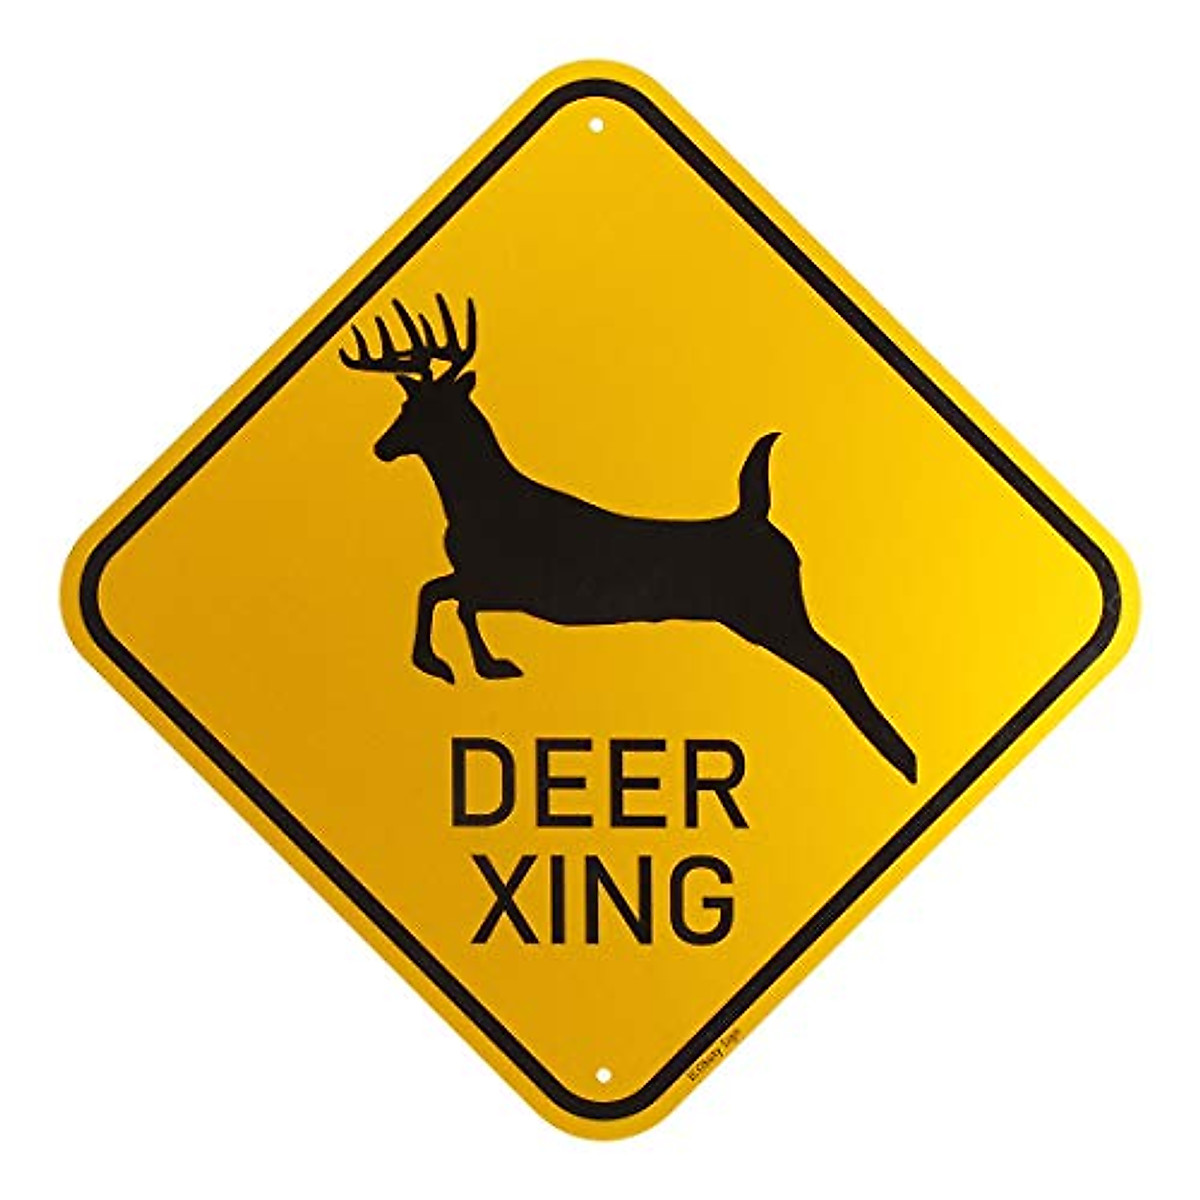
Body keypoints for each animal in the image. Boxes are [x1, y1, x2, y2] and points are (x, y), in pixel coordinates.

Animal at [339, 296, 917, 783]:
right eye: (406, 406)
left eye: (422, 411)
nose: (381, 447)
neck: (478, 503)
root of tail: (755, 515)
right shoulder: (486, 580)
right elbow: (439, 592)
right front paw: (454, 664)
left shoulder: (520, 588)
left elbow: (448, 598)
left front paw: (472, 664)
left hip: (772, 610)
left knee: (838, 663)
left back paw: (901, 758)